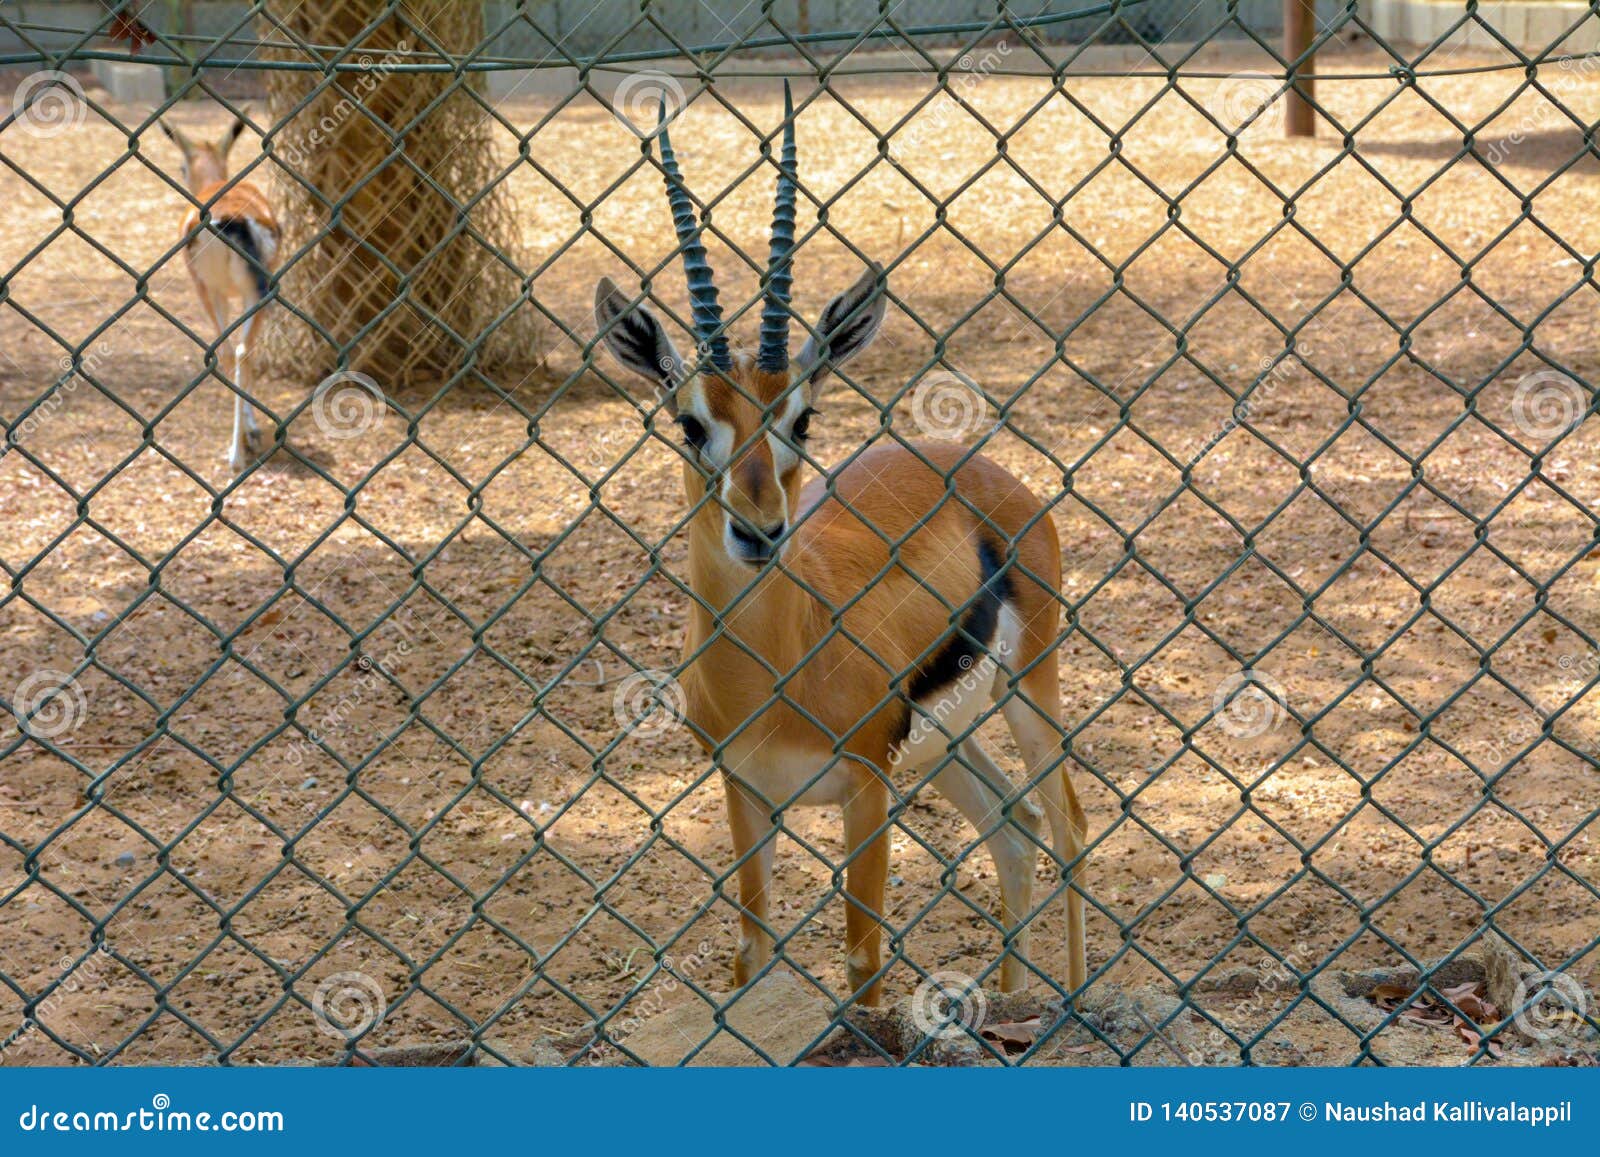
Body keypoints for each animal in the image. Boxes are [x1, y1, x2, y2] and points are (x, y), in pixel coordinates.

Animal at [160, 114, 279, 473]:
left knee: (231, 352)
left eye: (181, 166)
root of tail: (228, 217)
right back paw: (241, 448)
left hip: (213, 290)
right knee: (239, 351)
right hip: (251, 292)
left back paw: (237, 453)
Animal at [592, 87, 1088, 1010]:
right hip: (946, 746)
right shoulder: (746, 791)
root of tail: (981, 468)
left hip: (1027, 694)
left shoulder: (865, 785)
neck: (776, 664)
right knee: (1015, 826)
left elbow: (863, 958)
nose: (759, 529)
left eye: (804, 417)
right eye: (689, 423)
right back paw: (1008, 1002)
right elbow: (751, 948)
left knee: (1067, 824)